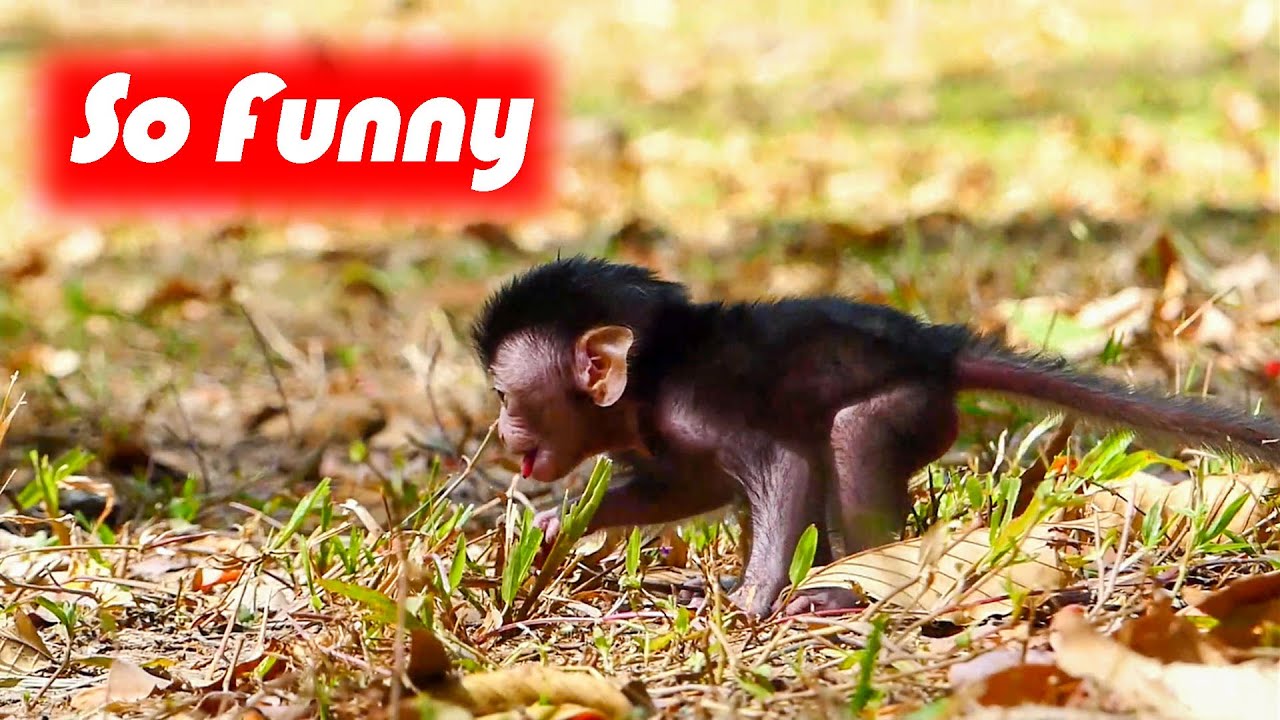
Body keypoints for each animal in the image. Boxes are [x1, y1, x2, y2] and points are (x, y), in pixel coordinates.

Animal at [470, 256, 1280, 617]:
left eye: (506, 395)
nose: (503, 431)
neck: (651, 374)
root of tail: (936, 350)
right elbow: (690, 485)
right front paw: (557, 525)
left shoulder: (695, 407)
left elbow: (783, 465)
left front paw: (750, 602)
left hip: (910, 403)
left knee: (850, 435)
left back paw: (848, 586)